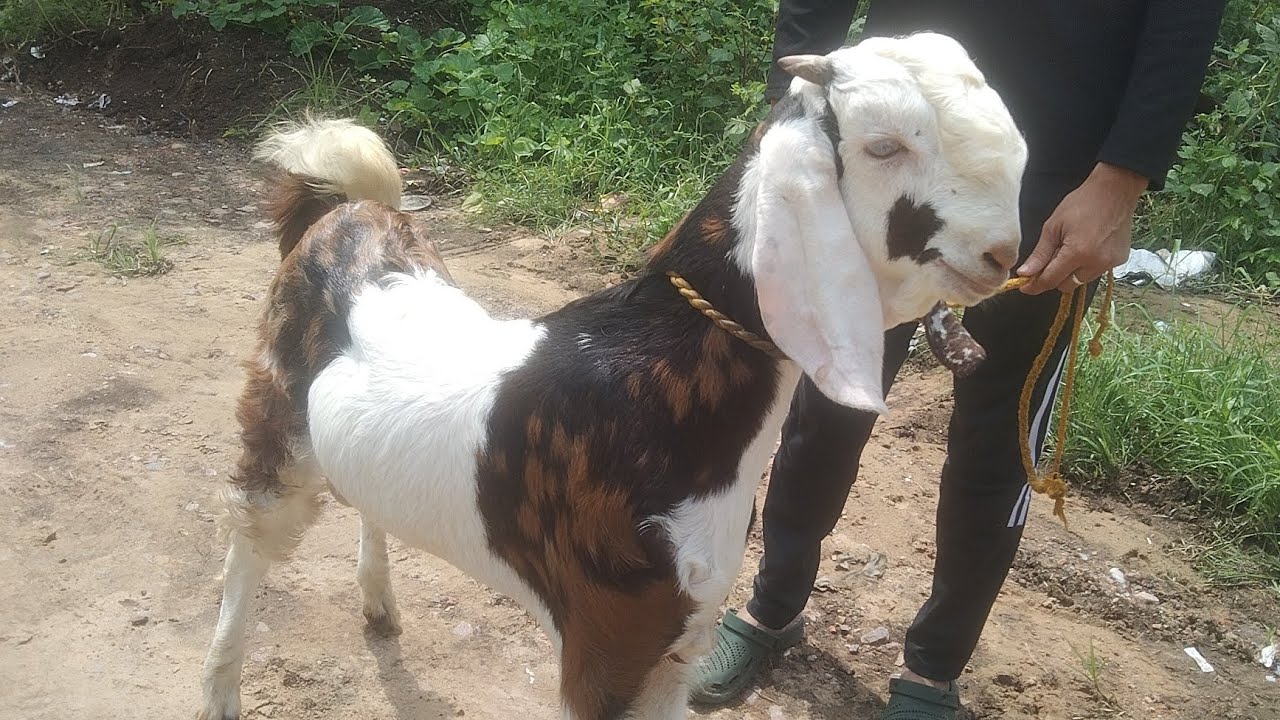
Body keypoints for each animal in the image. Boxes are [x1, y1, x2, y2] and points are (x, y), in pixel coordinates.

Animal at [196, 31, 1028, 720]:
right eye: (884, 145)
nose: (1005, 254)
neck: (666, 380)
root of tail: (346, 211)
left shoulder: (677, 640)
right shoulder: (606, 641)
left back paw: (378, 607)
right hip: (277, 417)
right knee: (248, 534)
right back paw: (220, 691)